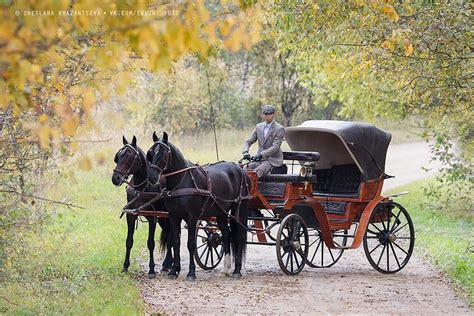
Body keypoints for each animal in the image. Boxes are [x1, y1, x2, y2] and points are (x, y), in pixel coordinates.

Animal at [112, 135, 173, 278]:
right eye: (118, 156)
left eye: (129, 156)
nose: (115, 178)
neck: (142, 188)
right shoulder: (131, 215)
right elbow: (129, 241)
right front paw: (125, 267)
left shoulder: (152, 217)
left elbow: (150, 243)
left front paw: (151, 270)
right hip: (163, 218)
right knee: (169, 235)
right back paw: (167, 264)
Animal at [147, 132, 252, 280]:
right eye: (150, 153)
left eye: (162, 153)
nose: (152, 177)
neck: (182, 181)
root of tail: (241, 170)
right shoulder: (173, 217)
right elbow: (176, 242)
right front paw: (174, 270)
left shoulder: (192, 218)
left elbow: (190, 244)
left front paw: (191, 272)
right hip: (221, 213)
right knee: (227, 235)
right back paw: (225, 269)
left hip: (239, 209)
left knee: (239, 237)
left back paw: (237, 270)